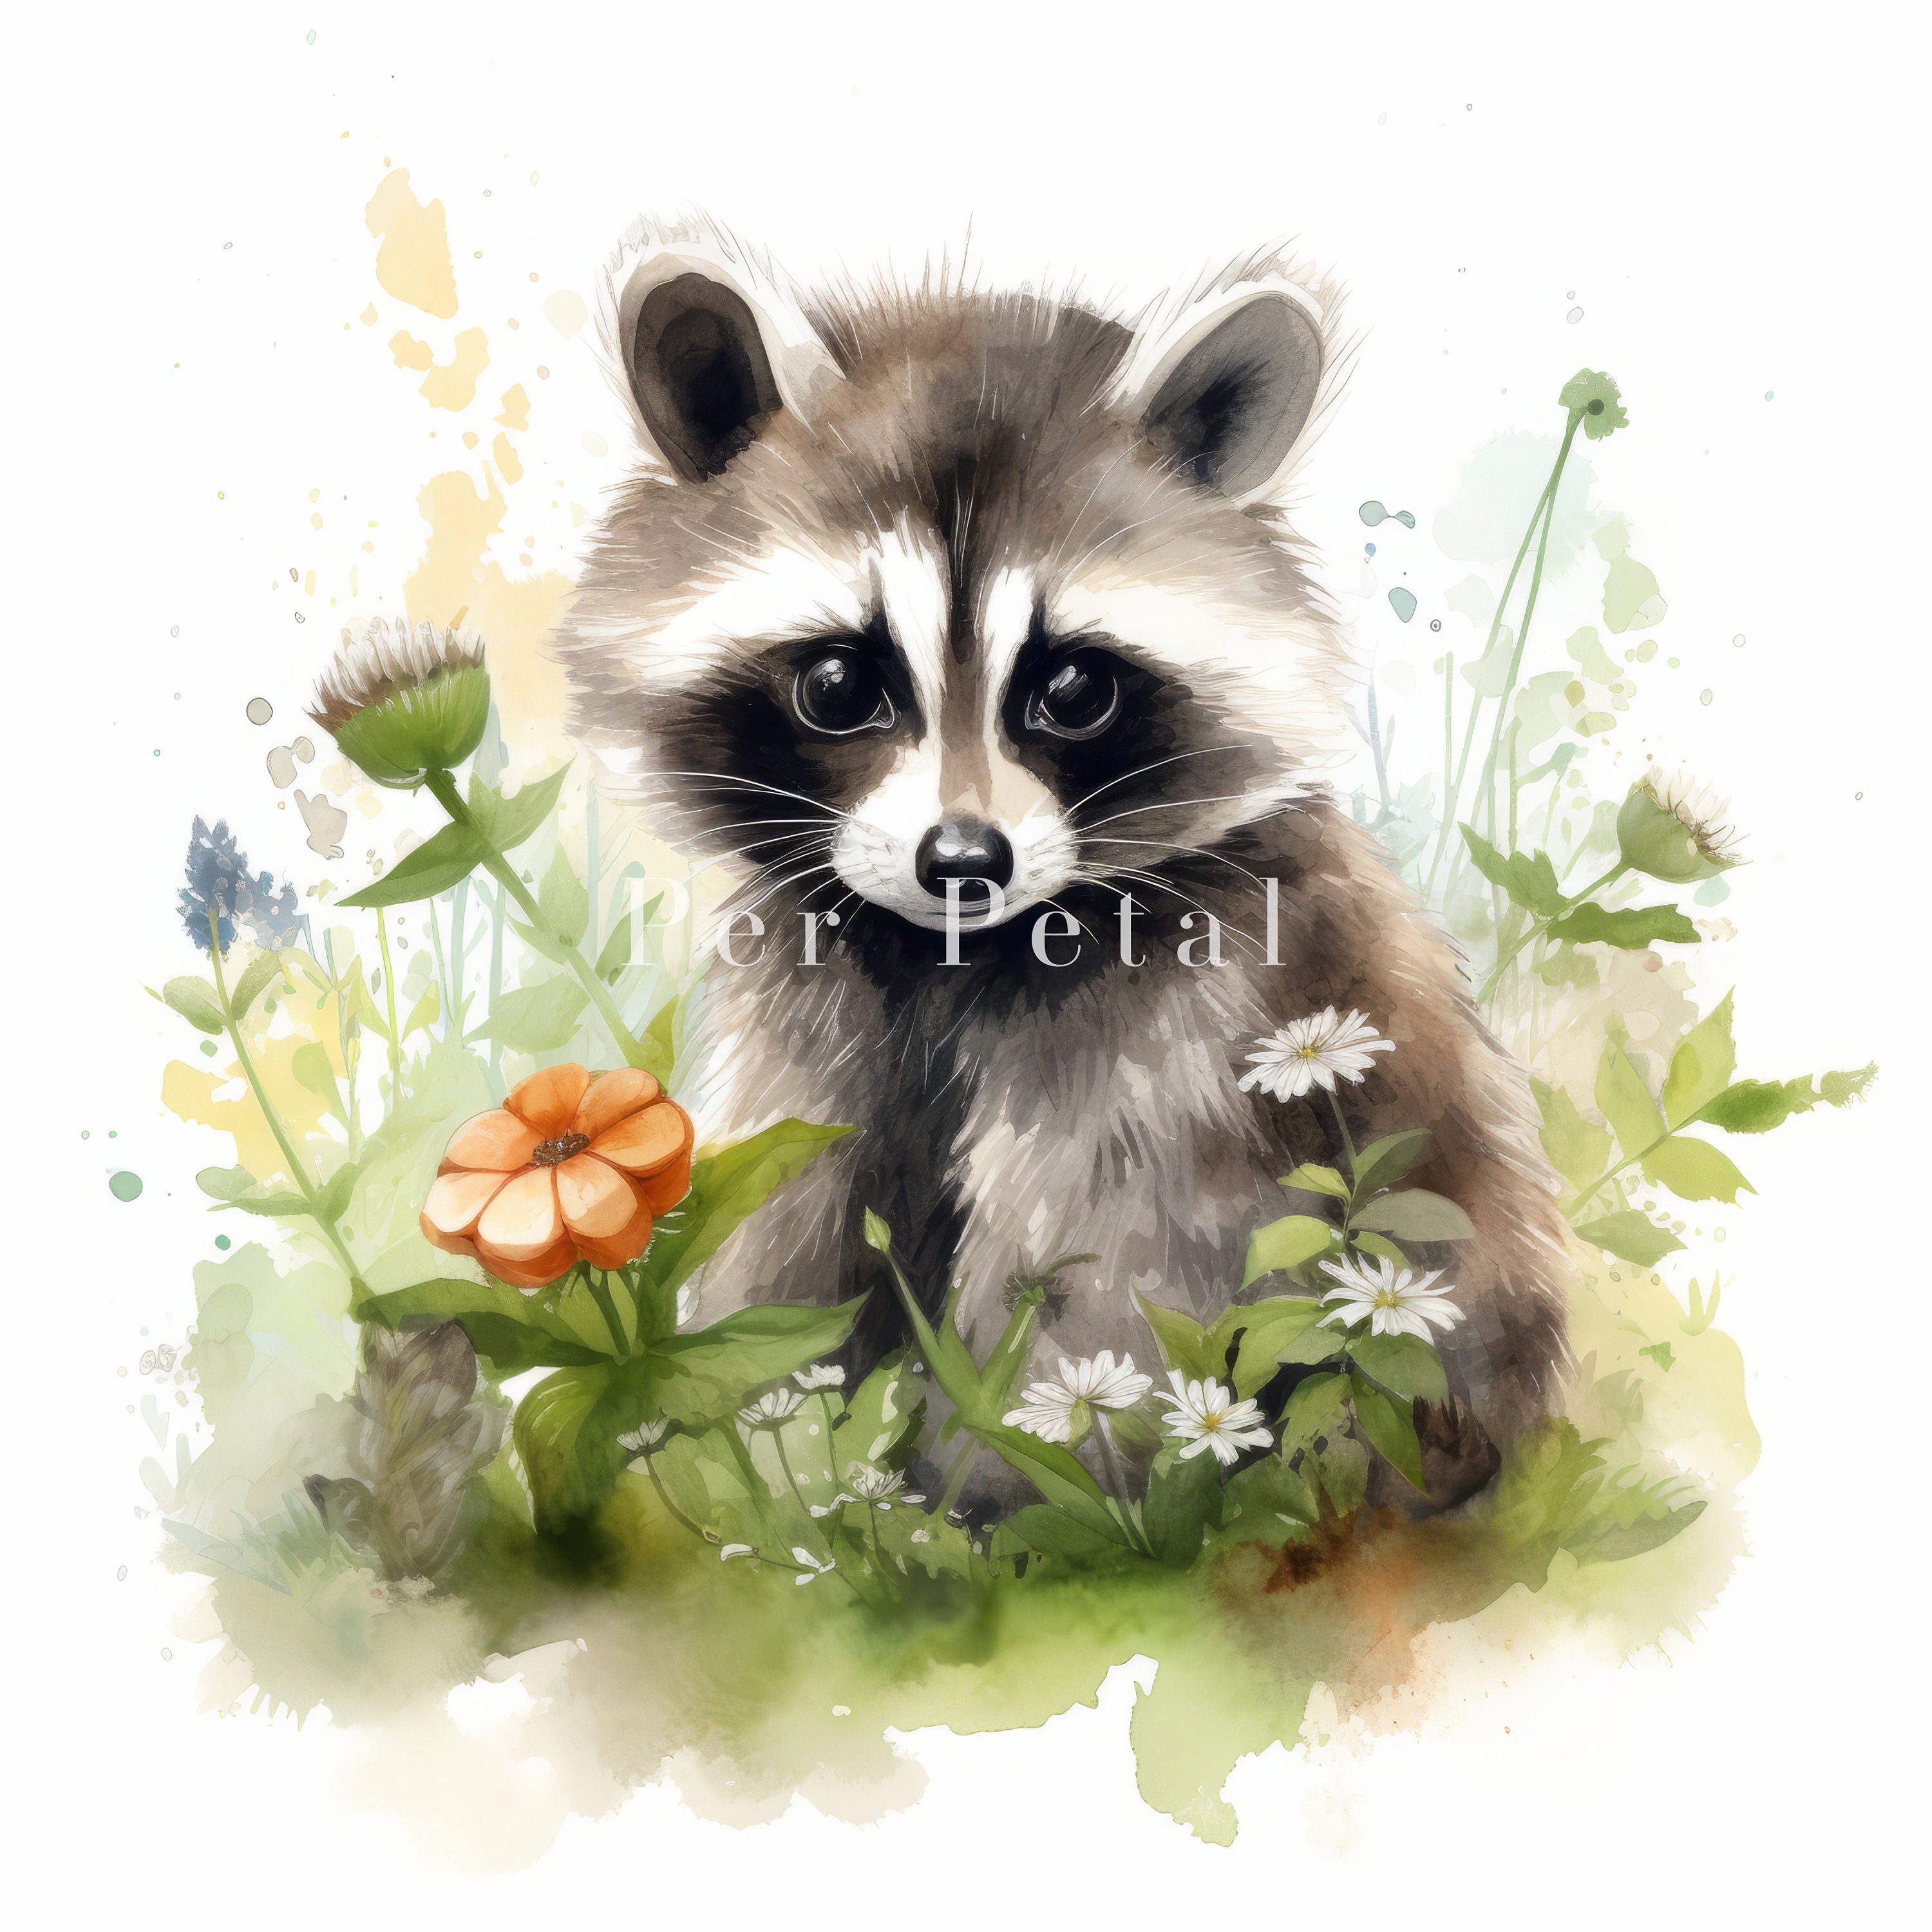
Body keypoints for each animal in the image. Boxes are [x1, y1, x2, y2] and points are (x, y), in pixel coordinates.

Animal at [557, 215, 1569, 1510]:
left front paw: (1005, 1497)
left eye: (1076, 688)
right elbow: (787, 1218)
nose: (963, 860)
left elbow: (1104, 1282)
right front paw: (773, 1464)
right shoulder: (810, 988)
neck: (950, 952)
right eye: (836, 683)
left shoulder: (1196, 1018)